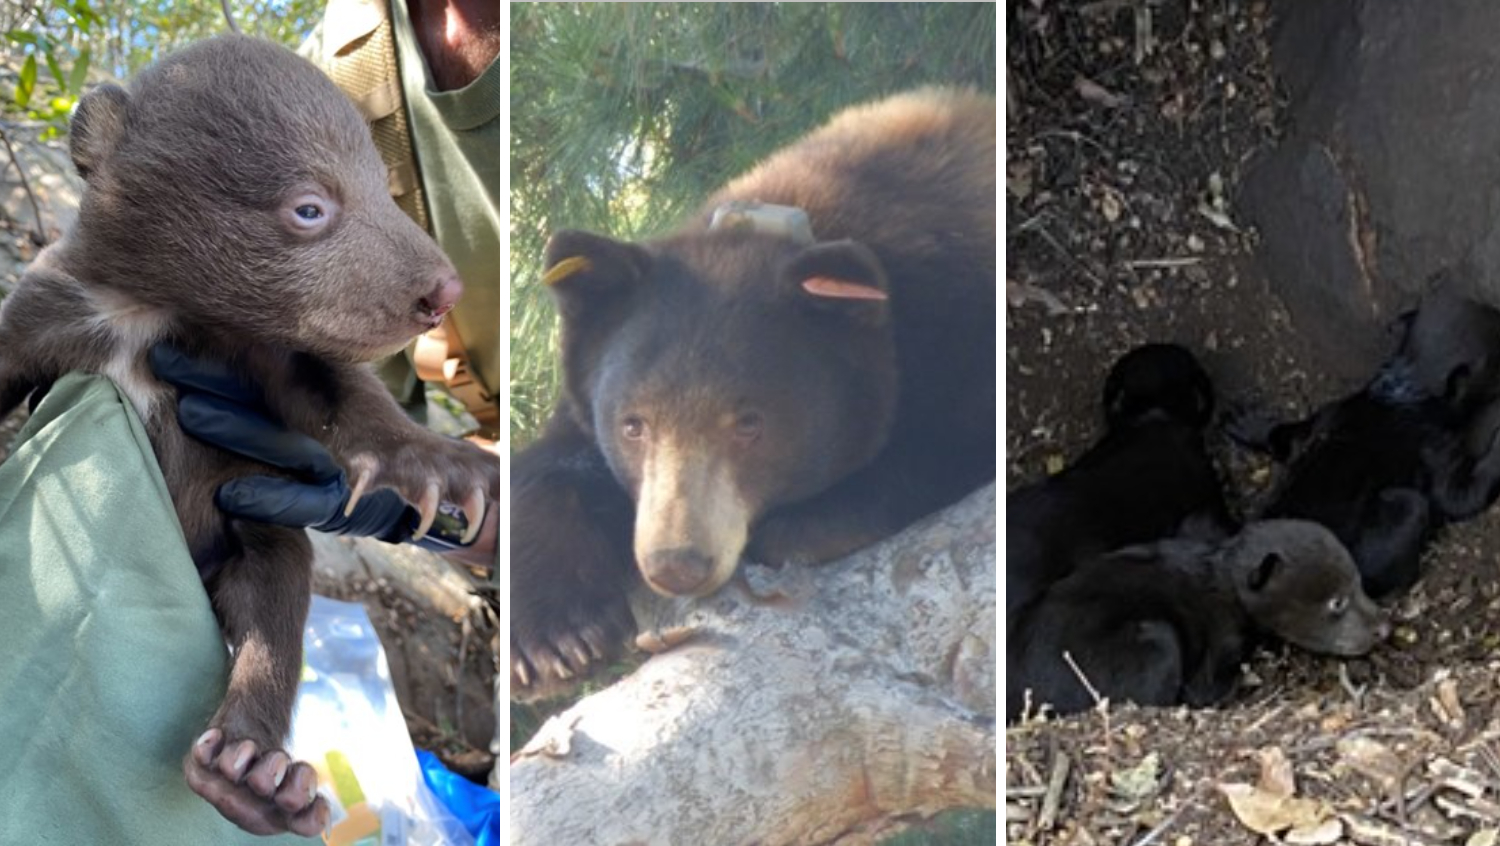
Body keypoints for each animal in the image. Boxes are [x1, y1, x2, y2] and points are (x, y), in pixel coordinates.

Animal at [0, 35, 497, 835]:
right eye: (310, 207)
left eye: (384, 188)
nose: (441, 291)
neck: (151, 314)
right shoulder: (51, 305)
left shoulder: (258, 356)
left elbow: (335, 384)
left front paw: (441, 466)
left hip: (252, 537)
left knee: (273, 604)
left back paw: (253, 773)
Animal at [510, 87, 996, 699]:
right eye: (632, 424)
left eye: (749, 422)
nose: (677, 563)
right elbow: (549, 462)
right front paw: (557, 640)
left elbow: (952, 435)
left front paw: (809, 521)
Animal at [1006, 519, 1389, 722]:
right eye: (1336, 602)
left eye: (1358, 583)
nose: (1384, 627)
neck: (1225, 581)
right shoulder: (1218, 648)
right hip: (1156, 640)